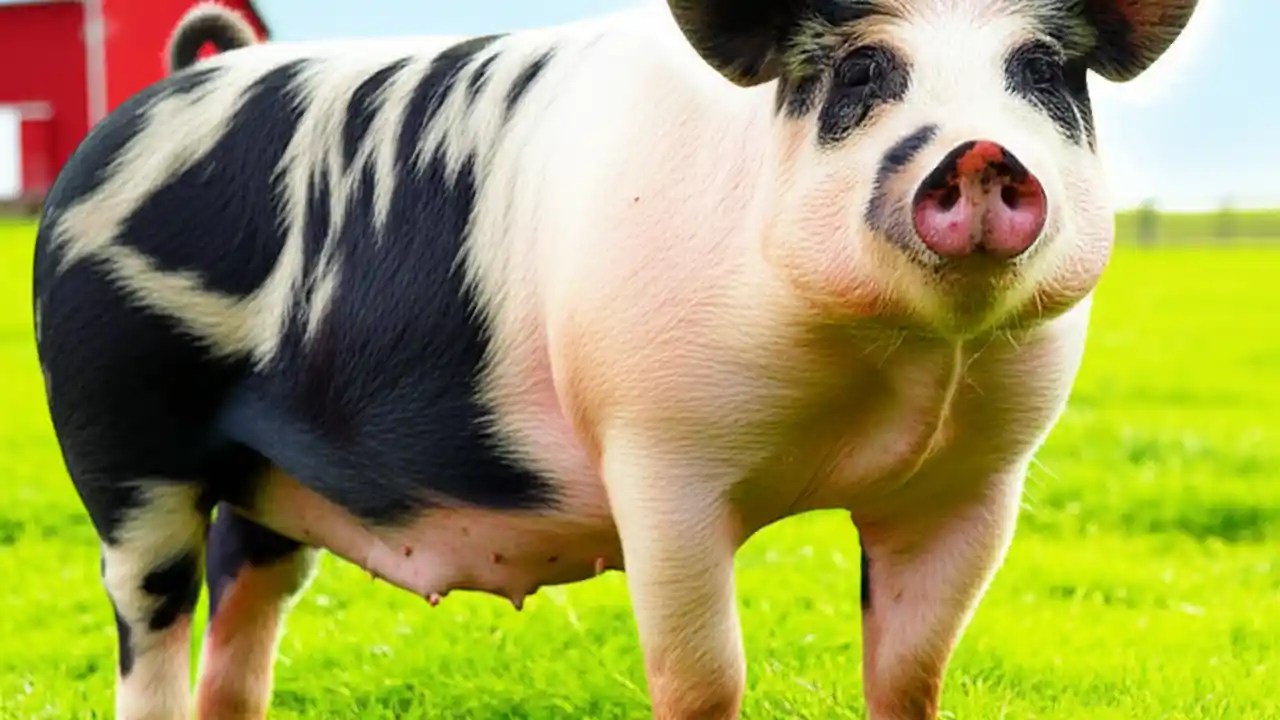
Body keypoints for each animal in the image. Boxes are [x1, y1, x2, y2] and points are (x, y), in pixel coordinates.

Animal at [31, 0, 1198, 718]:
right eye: (863, 69)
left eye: (1040, 72)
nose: (981, 150)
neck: (880, 373)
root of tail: (171, 87)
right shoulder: (660, 456)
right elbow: (703, 677)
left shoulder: (973, 483)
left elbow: (911, 675)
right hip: (116, 435)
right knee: (151, 625)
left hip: (270, 481)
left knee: (243, 618)